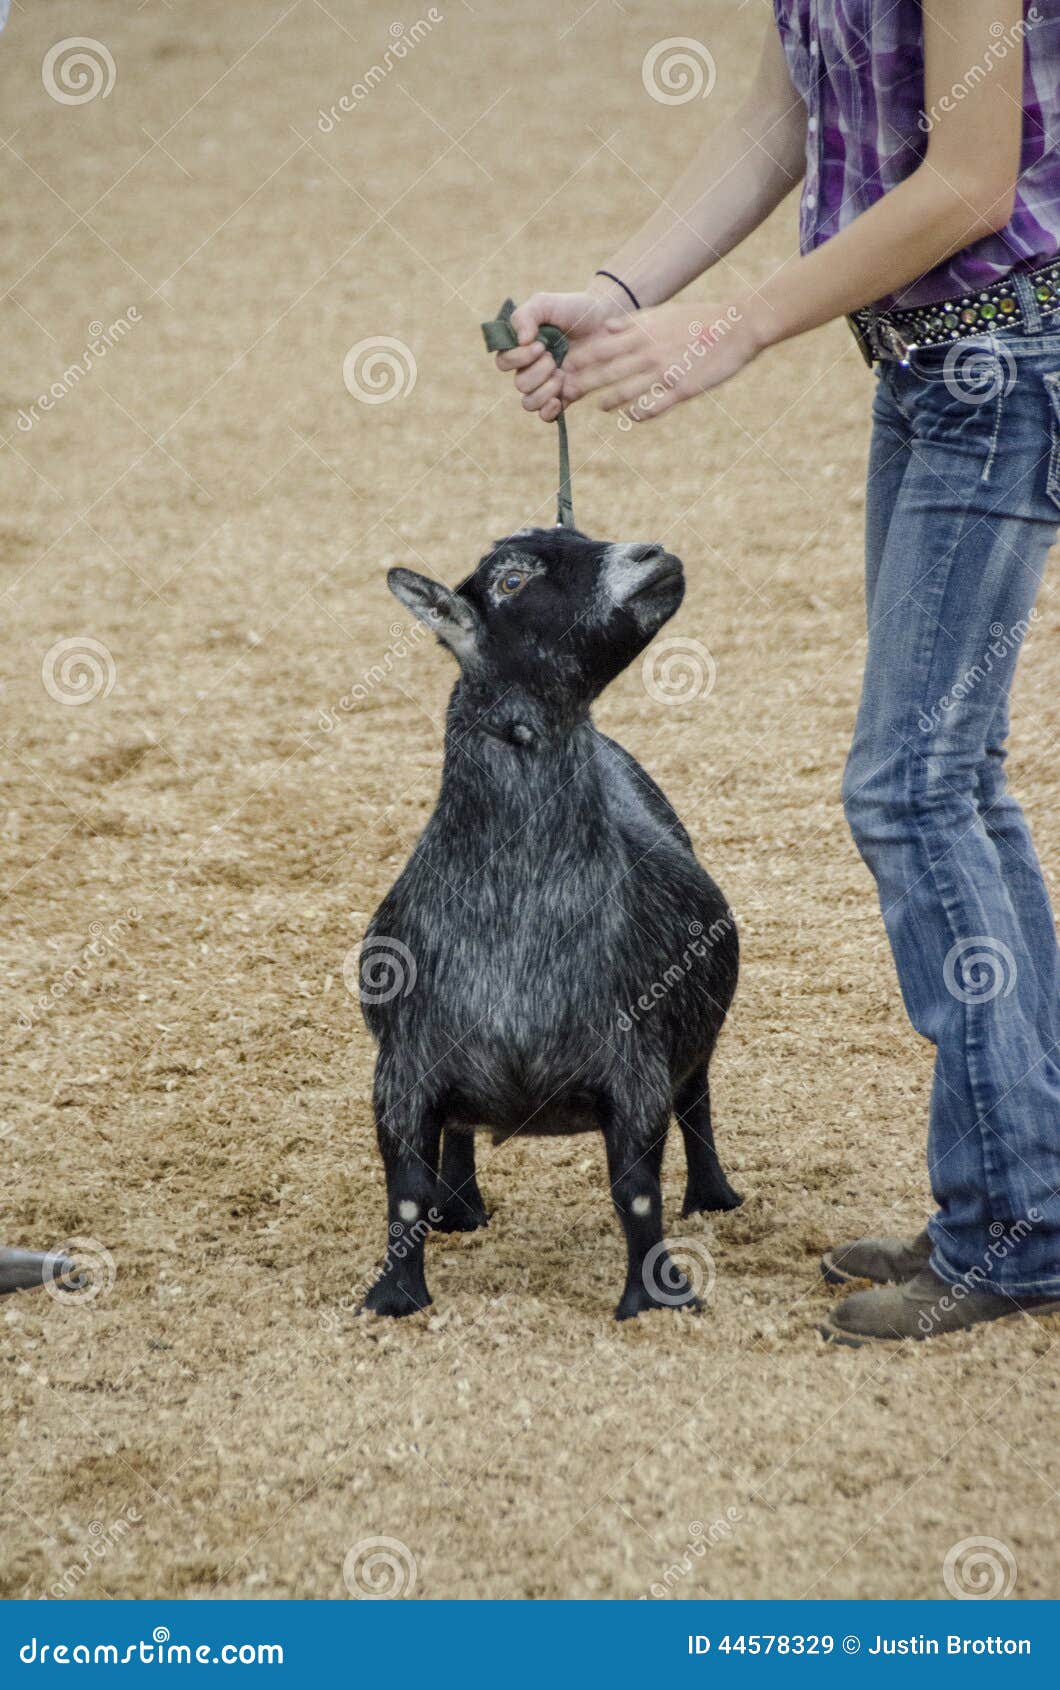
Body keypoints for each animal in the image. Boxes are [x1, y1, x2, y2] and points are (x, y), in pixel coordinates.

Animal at [358, 525, 740, 1320]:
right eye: (511, 580)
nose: (654, 556)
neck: (519, 916)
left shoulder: (635, 1069)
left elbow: (636, 1193)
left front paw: (654, 1298)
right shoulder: (401, 1074)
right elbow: (403, 1195)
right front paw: (393, 1298)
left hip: (693, 1038)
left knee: (698, 1102)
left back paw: (715, 1196)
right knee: (459, 1135)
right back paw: (461, 1210)